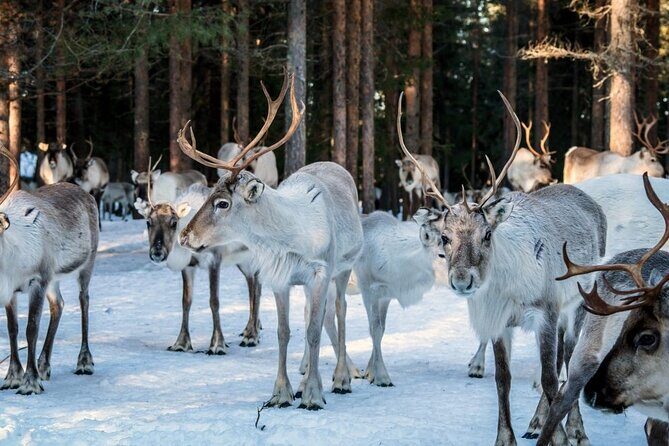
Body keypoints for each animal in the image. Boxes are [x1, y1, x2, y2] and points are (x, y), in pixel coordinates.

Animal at [0, 145, 99, 395]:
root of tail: (87, 194)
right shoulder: (10, 290)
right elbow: (12, 328)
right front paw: (12, 377)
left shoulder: (38, 280)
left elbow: (31, 328)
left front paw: (30, 382)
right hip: (54, 277)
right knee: (59, 304)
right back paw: (44, 365)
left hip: (87, 262)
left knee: (84, 300)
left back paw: (84, 362)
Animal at [177, 71, 363, 410]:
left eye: (222, 203)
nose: (185, 235)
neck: (291, 238)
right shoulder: (280, 278)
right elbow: (284, 332)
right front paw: (282, 392)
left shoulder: (320, 272)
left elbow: (314, 331)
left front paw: (313, 395)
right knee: (312, 316)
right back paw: (306, 379)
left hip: (343, 268)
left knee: (340, 311)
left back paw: (341, 378)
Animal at [410, 90, 607, 446]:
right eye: (445, 238)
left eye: (487, 234)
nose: (462, 281)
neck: (508, 288)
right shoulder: (500, 322)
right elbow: (503, 378)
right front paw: (507, 437)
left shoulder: (546, 311)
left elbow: (548, 378)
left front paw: (560, 435)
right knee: (561, 359)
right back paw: (536, 421)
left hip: (579, 302)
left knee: (570, 359)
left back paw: (576, 428)